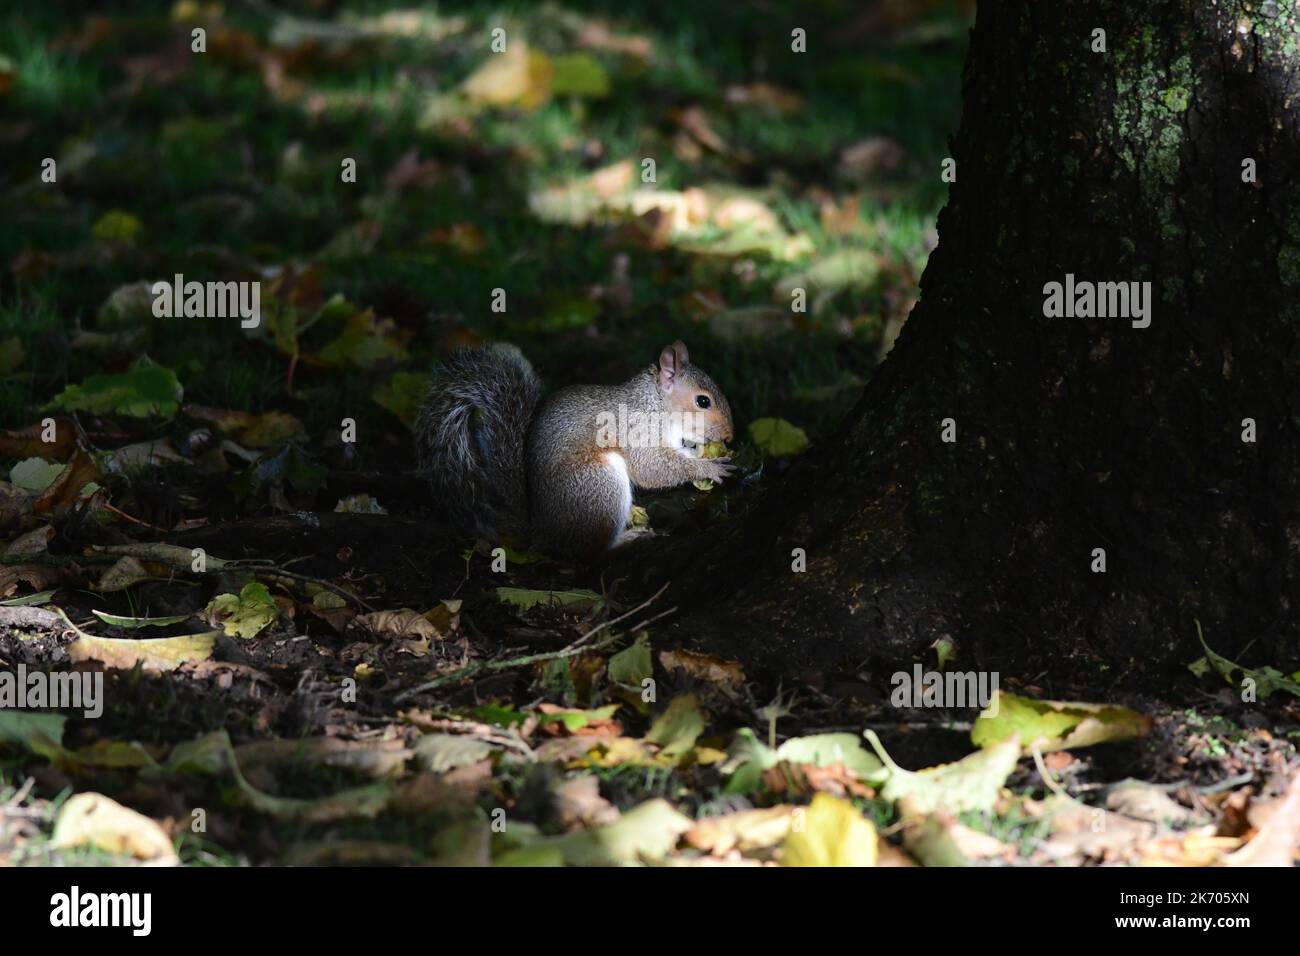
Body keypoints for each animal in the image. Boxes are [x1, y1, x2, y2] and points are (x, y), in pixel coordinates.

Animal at [416, 340, 735, 559]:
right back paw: (626, 540)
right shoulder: (636, 429)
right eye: (703, 401)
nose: (730, 436)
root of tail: (543, 530)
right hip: (599, 484)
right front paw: (709, 467)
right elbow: (653, 468)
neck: (655, 403)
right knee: (589, 552)